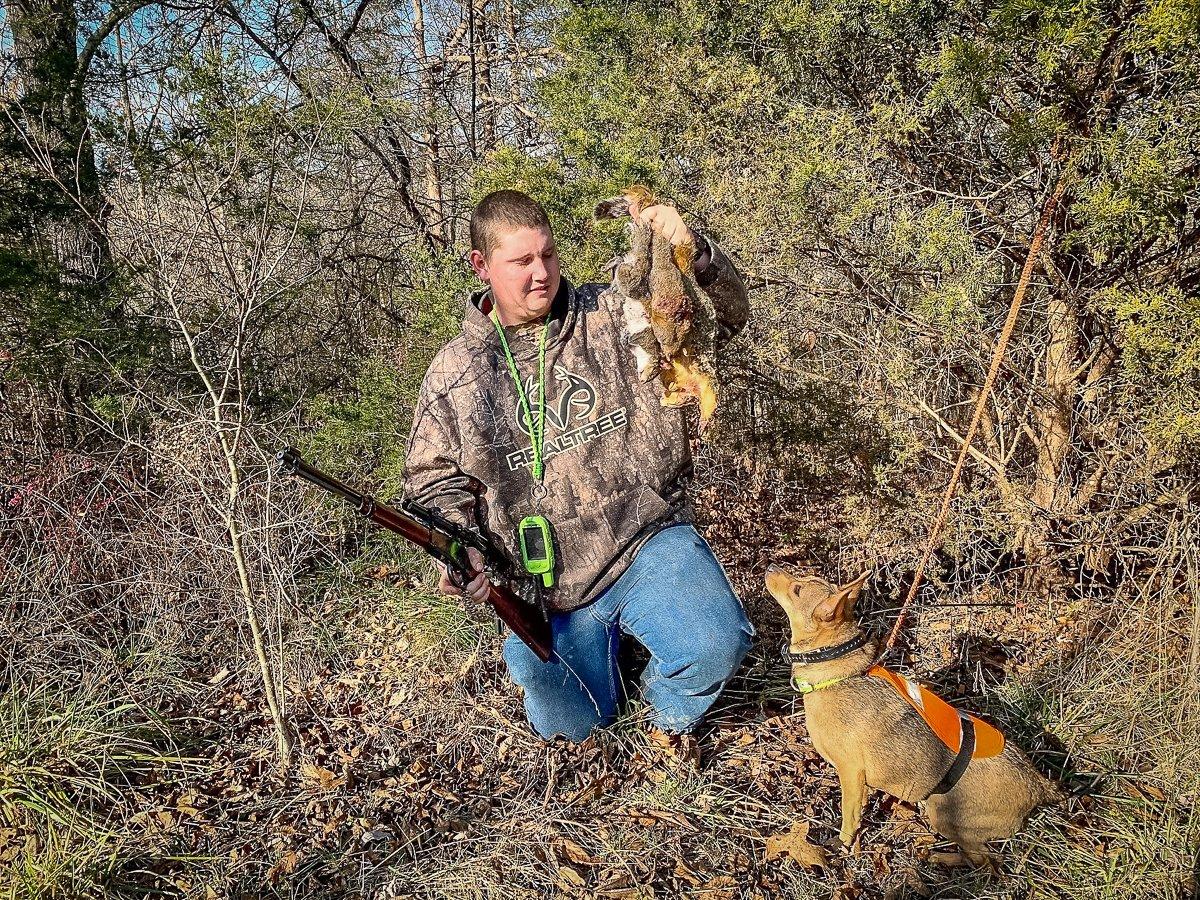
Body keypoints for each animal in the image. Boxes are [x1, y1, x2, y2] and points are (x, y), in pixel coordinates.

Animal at [763, 566, 1065, 868]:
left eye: (797, 590)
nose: (770, 567)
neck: (836, 670)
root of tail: (1038, 785)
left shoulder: (850, 773)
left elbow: (849, 818)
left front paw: (843, 844)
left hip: (943, 814)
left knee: (984, 861)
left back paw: (937, 857)